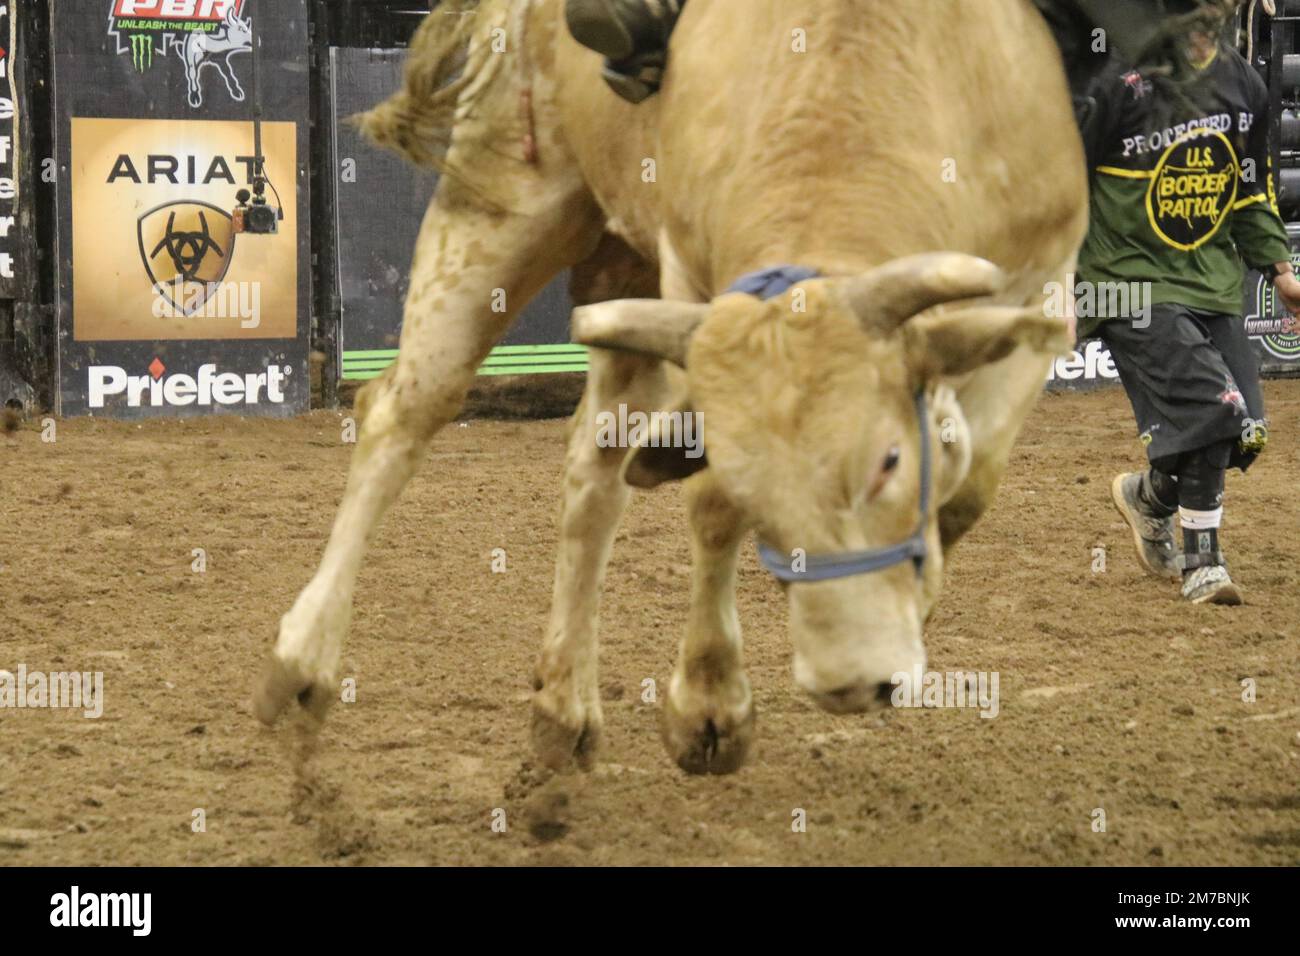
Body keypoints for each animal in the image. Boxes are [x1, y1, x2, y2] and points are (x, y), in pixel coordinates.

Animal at [254, 0, 1089, 774]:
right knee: (401, 414)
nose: (848, 681)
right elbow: (711, 499)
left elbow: (970, 482)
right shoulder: (691, 285)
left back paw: (563, 704)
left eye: (888, 461)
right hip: (500, 205)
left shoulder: (1047, 283)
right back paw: (300, 660)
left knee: (593, 468)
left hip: (620, 273)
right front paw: (708, 707)